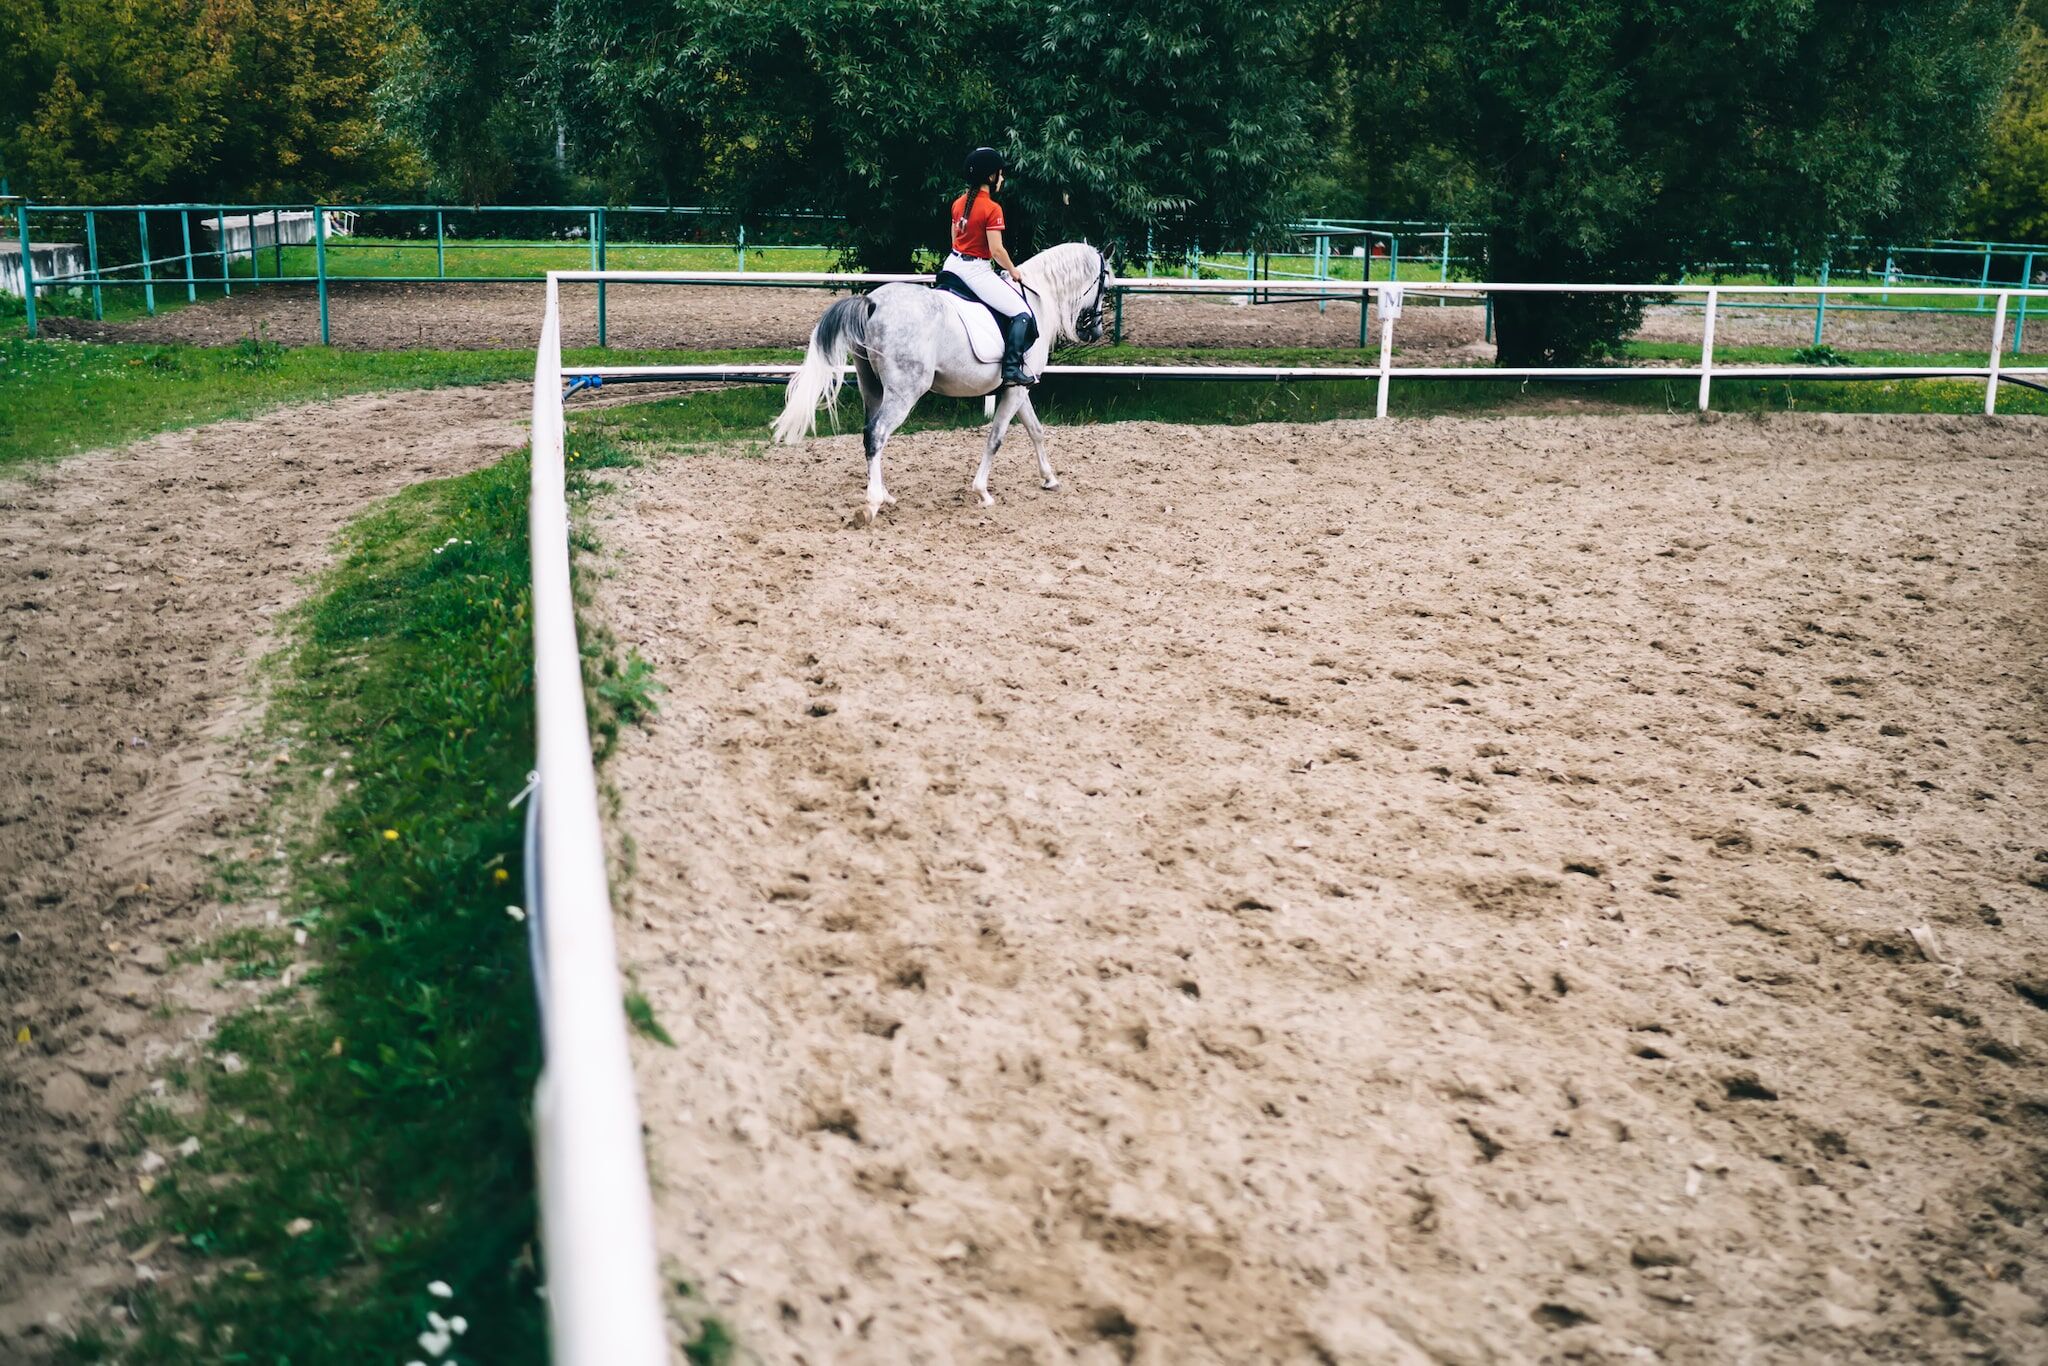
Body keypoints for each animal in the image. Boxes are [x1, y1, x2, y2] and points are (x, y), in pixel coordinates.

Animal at [771, 242, 1111, 522]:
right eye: (1105, 284)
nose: (1095, 331)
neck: (1037, 297)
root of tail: (872, 302)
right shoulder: (1017, 389)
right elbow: (996, 438)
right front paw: (983, 492)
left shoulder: (1018, 387)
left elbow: (1036, 431)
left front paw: (1049, 479)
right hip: (905, 392)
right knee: (877, 433)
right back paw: (874, 503)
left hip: (873, 388)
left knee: (870, 435)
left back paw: (885, 495)